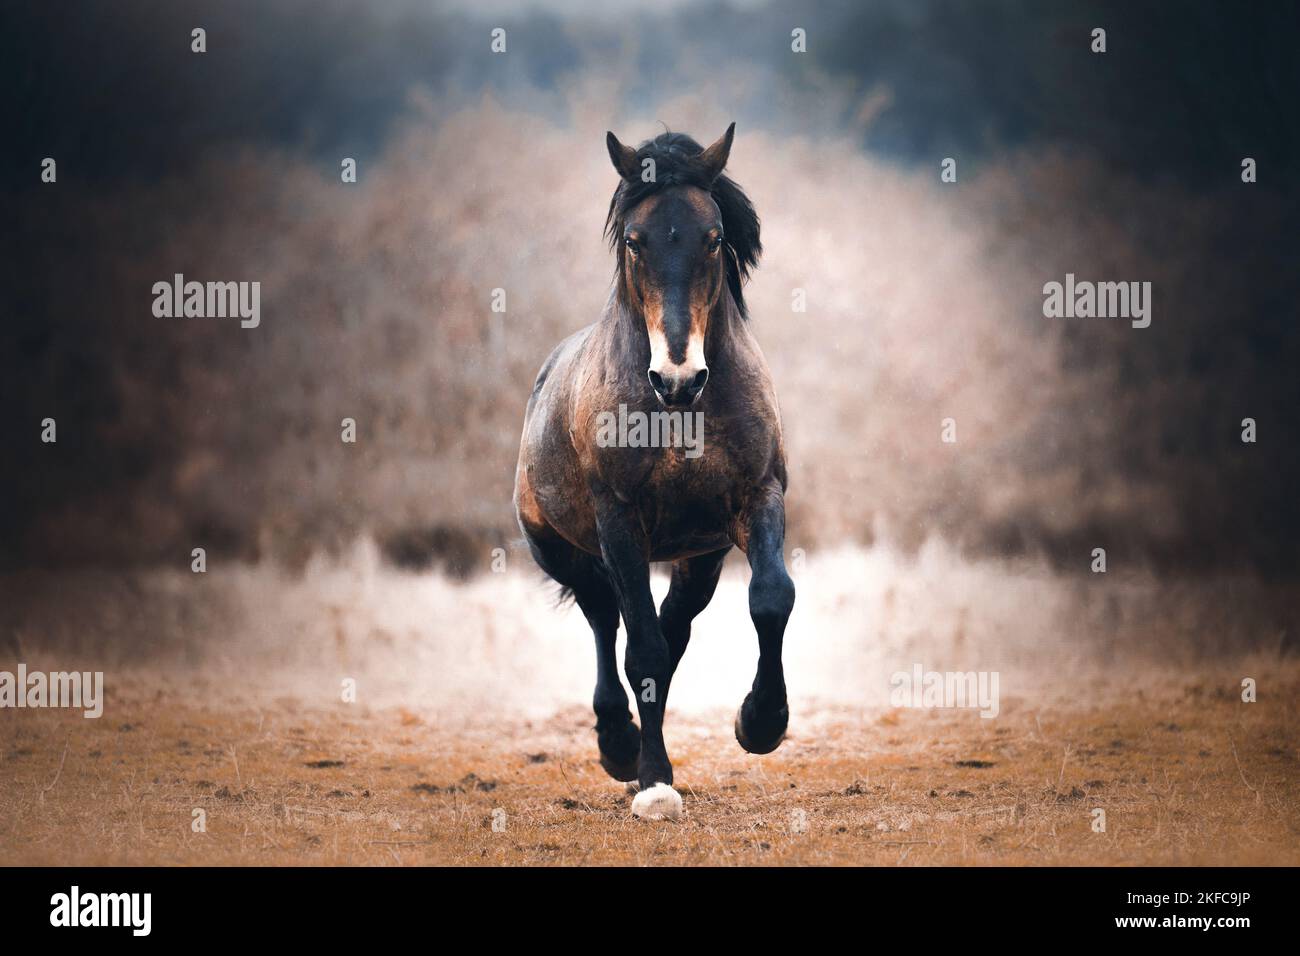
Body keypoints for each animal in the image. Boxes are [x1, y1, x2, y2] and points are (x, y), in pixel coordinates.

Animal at [513, 123, 795, 819]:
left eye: (713, 237)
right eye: (634, 241)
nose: (677, 377)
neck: (681, 414)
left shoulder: (759, 499)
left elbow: (771, 598)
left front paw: (760, 723)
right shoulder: (619, 522)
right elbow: (639, 645)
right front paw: (653, 778)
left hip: (699, 557)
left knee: (674, 628)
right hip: (563, 550)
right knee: (606, 619)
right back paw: (619, 745)